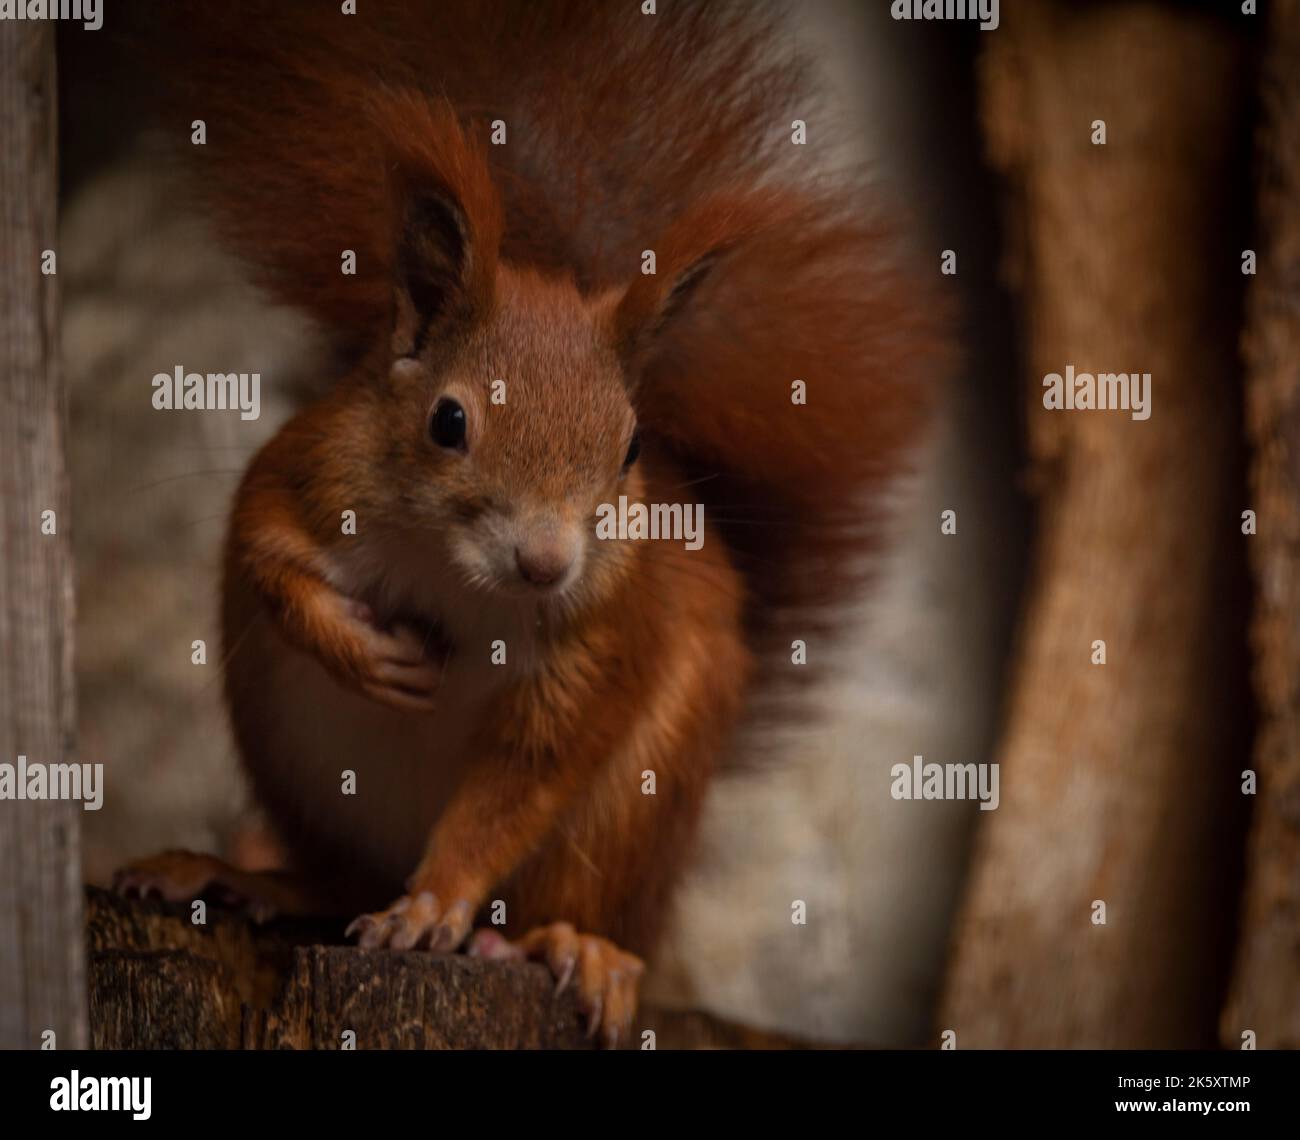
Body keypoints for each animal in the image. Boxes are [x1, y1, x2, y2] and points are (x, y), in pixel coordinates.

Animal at [111, 0, 944, 1046]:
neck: (457, 574)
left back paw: (565, 947)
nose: (548, 563)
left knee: (558, 900)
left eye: (632, 449)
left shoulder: (602, 635)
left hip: (630, 817)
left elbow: (522, 780)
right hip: (299, 763)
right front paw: (367, 653)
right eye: (448, 422)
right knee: (336, 875)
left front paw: (436, 902)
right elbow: (265, 551)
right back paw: (236, 876)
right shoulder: (309, 470)